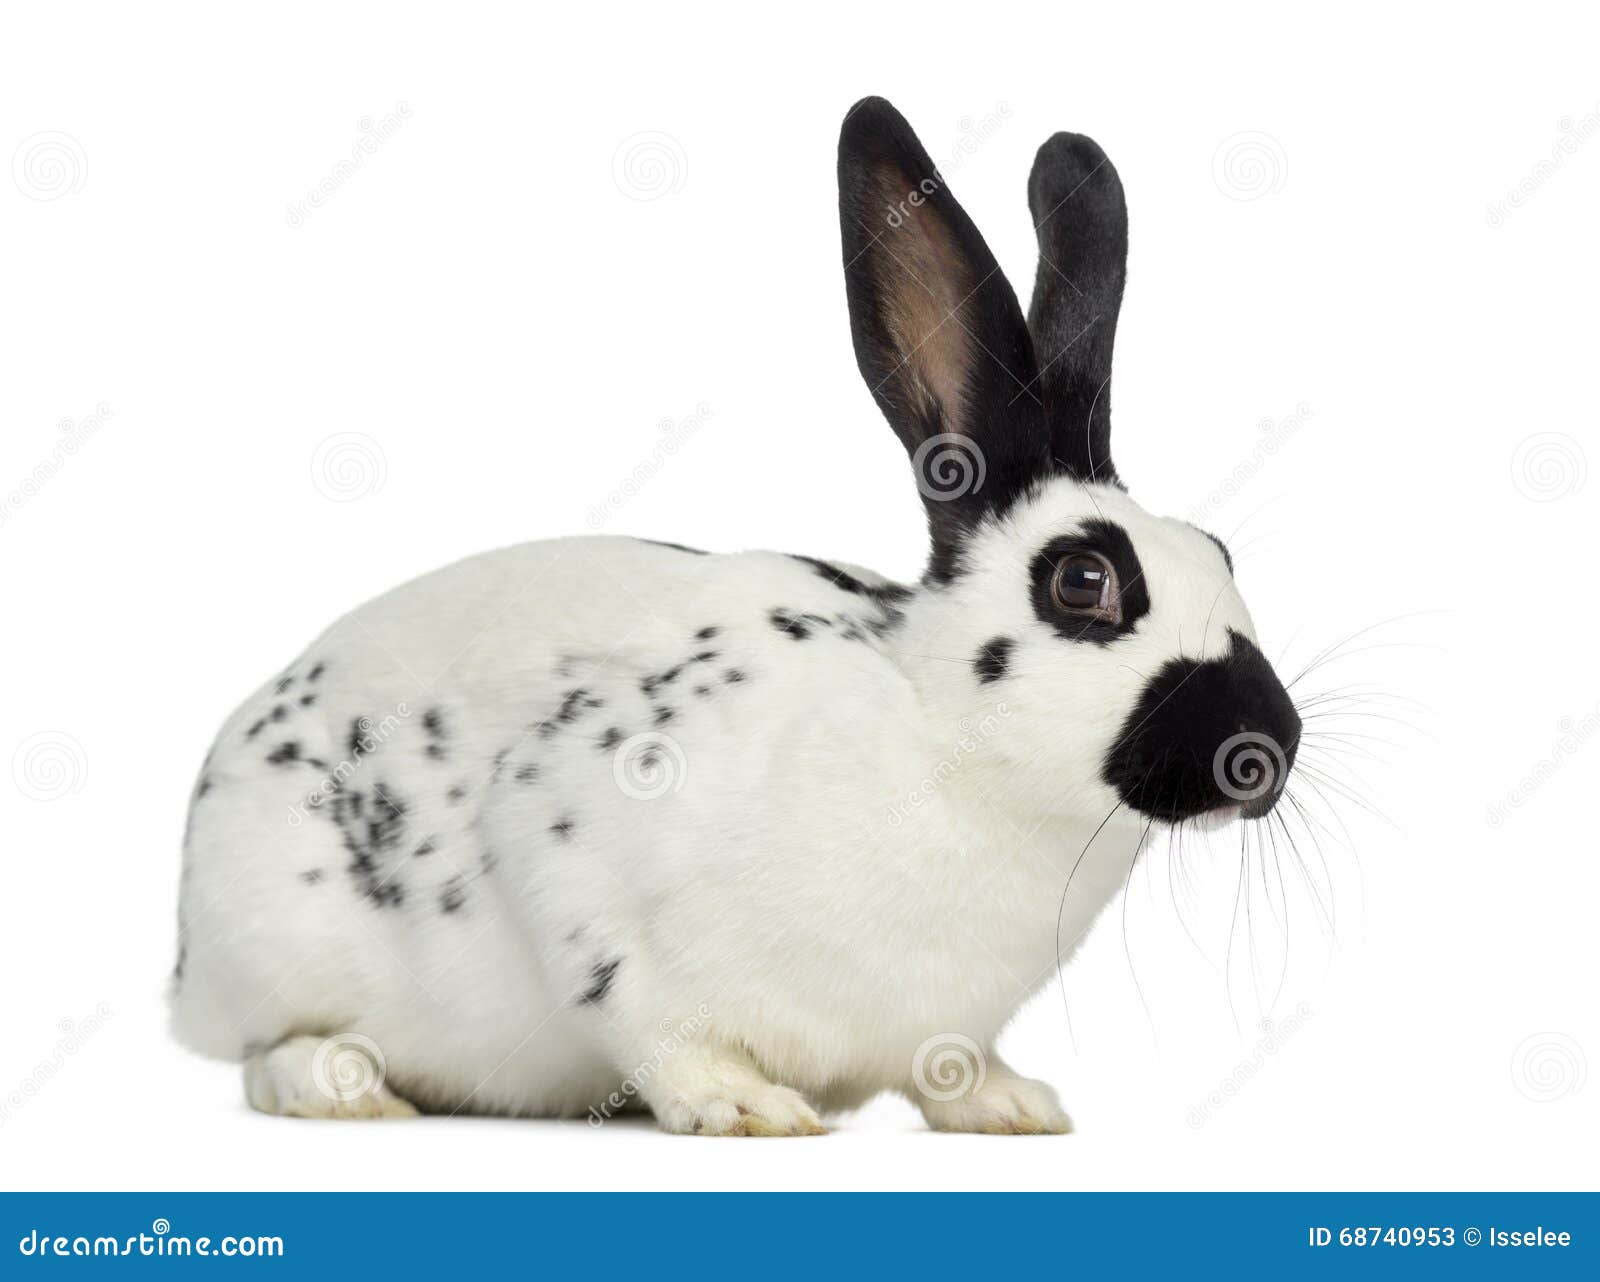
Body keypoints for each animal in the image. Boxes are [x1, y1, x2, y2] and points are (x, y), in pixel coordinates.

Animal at [170, 97, 1301, 1136]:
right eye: (1081, 579)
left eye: (1220, 552)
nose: (1265, 748)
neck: (949, 751)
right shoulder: (566, 835)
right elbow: (646, 1018)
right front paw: (748, 1106)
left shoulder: (946, 1025)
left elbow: (953, 1065)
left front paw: (1014, 1107)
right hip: (273, 942)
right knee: (262, 1048)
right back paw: (342, 1088)